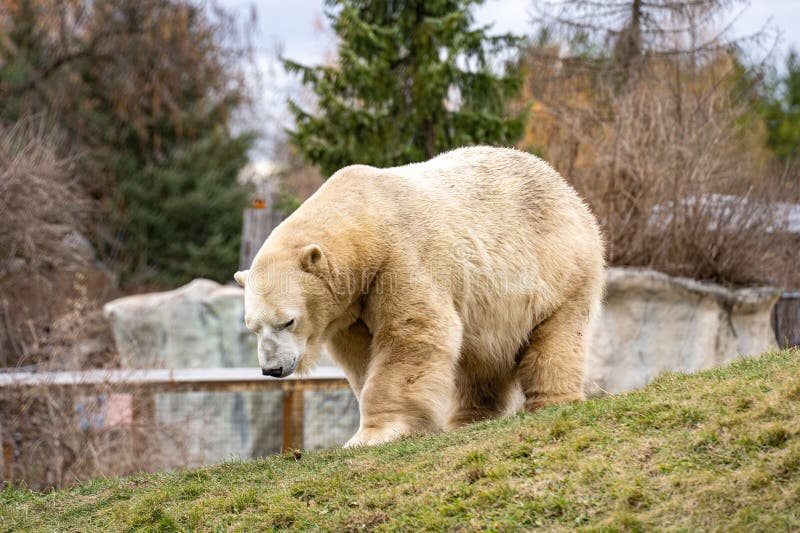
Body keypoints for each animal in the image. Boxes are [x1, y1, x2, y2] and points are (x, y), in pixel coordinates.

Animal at [235, 146, 605, 447]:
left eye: (287, 321)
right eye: (253, 327)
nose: (272, 369)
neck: (366, 218)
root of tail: (567, 189)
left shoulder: (402, 258)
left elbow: (413, 331)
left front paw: (375, 434)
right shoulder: (352, 304)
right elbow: (360, 356)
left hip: (558, 268)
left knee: (556, 335)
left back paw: (552, 400)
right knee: (477, 364)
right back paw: (466, 419)